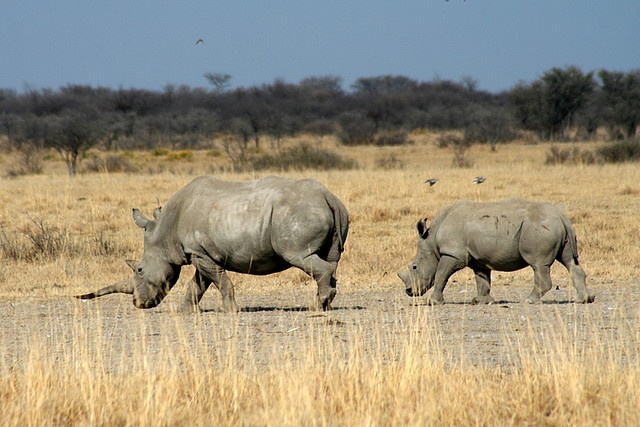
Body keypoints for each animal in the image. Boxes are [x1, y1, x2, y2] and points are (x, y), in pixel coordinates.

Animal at [76, 176, 349, 312]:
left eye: (140, 270)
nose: (139, 304)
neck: (165, 232)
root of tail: (329, 196)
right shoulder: (201, 253)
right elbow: (199, 283)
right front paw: (185, 311)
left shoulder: (200, 252)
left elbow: (218, 281)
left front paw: (231, 311)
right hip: (327, 212)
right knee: (332, 260)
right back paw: (327, 305)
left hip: (297, 216)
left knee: (302, 258)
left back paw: (315, 307)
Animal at [398, 199, 595, 305]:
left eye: (414, 267)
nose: (409, 291)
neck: (431, 240)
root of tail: (562, 217)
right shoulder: (478, 258)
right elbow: (482, 280)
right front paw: (481, 301)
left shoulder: (453, 254)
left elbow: (440, 276)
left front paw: (432, 302)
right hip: (556, 229)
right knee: (569, 261)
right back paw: (585, 300)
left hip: (539, 229)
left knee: (539, 265)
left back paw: (530, 300)